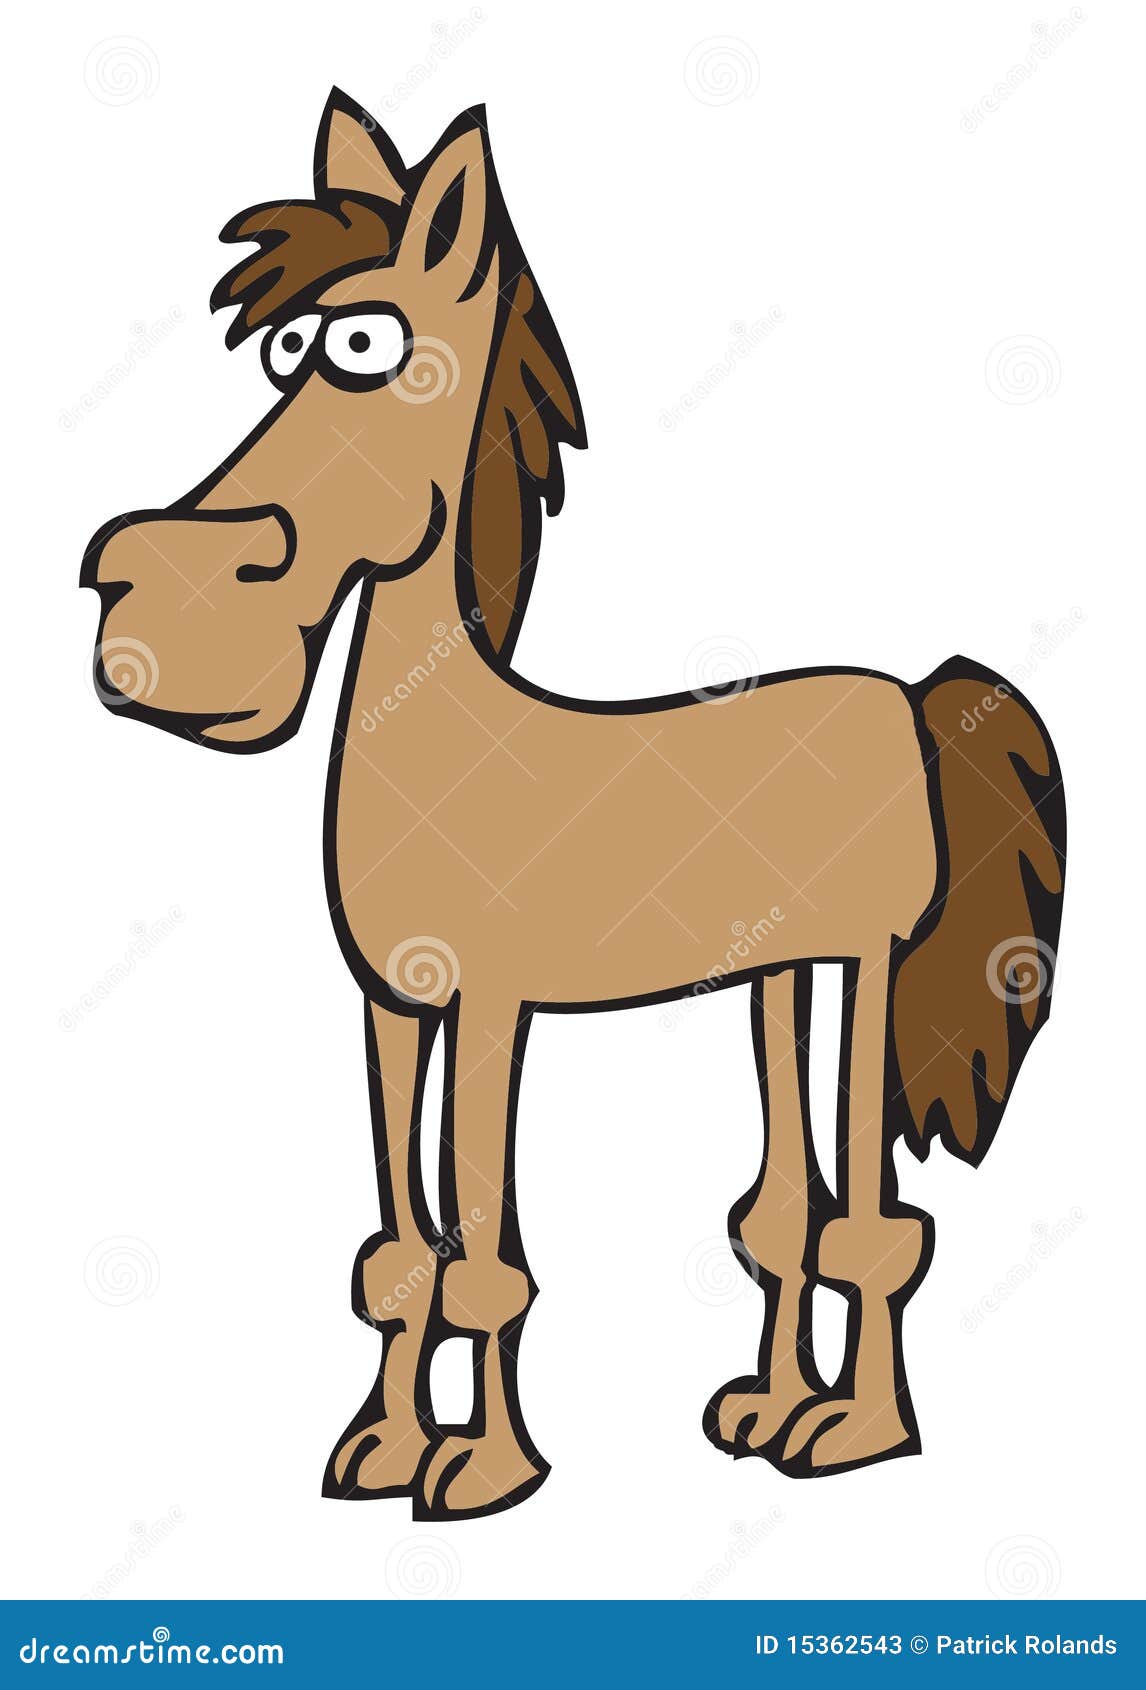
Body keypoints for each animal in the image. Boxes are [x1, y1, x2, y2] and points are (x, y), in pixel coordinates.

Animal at [81, 92, 1066, 1520]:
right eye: (284, 355)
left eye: (369, 345)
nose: (150, 594)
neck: (444, 740)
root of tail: (912, 693)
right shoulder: (392, 1006)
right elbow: (404, 1248)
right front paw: (380, 1449)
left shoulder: (495, 1003)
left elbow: (484, 1248)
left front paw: (485, 1469)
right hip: (780, 972)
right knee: (785, 1207)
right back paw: (763, 1410)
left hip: (871, 964)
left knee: (870, 1223)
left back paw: (857, 1432)